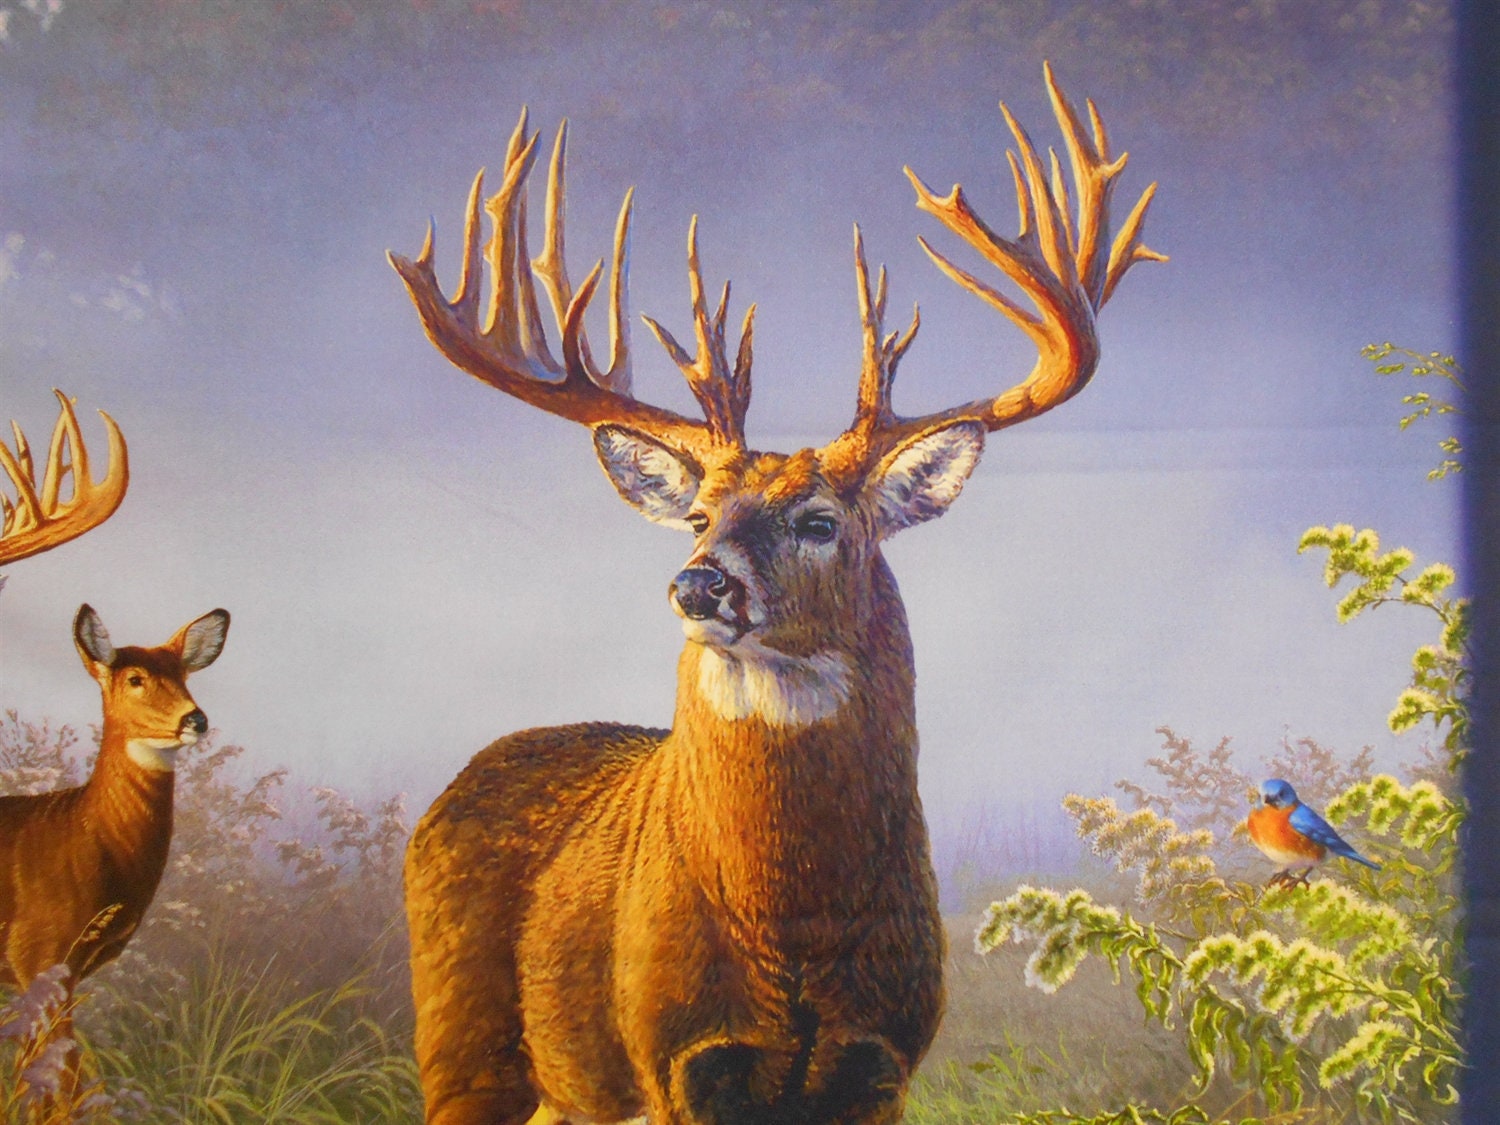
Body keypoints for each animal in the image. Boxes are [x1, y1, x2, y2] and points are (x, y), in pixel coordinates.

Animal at [394, 64, 1163, 1125]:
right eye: (695, 514)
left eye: (820, 520)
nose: (696, 581)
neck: (790, 925)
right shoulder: (677, 1057)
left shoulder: (883, 1059)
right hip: (463, 1039)